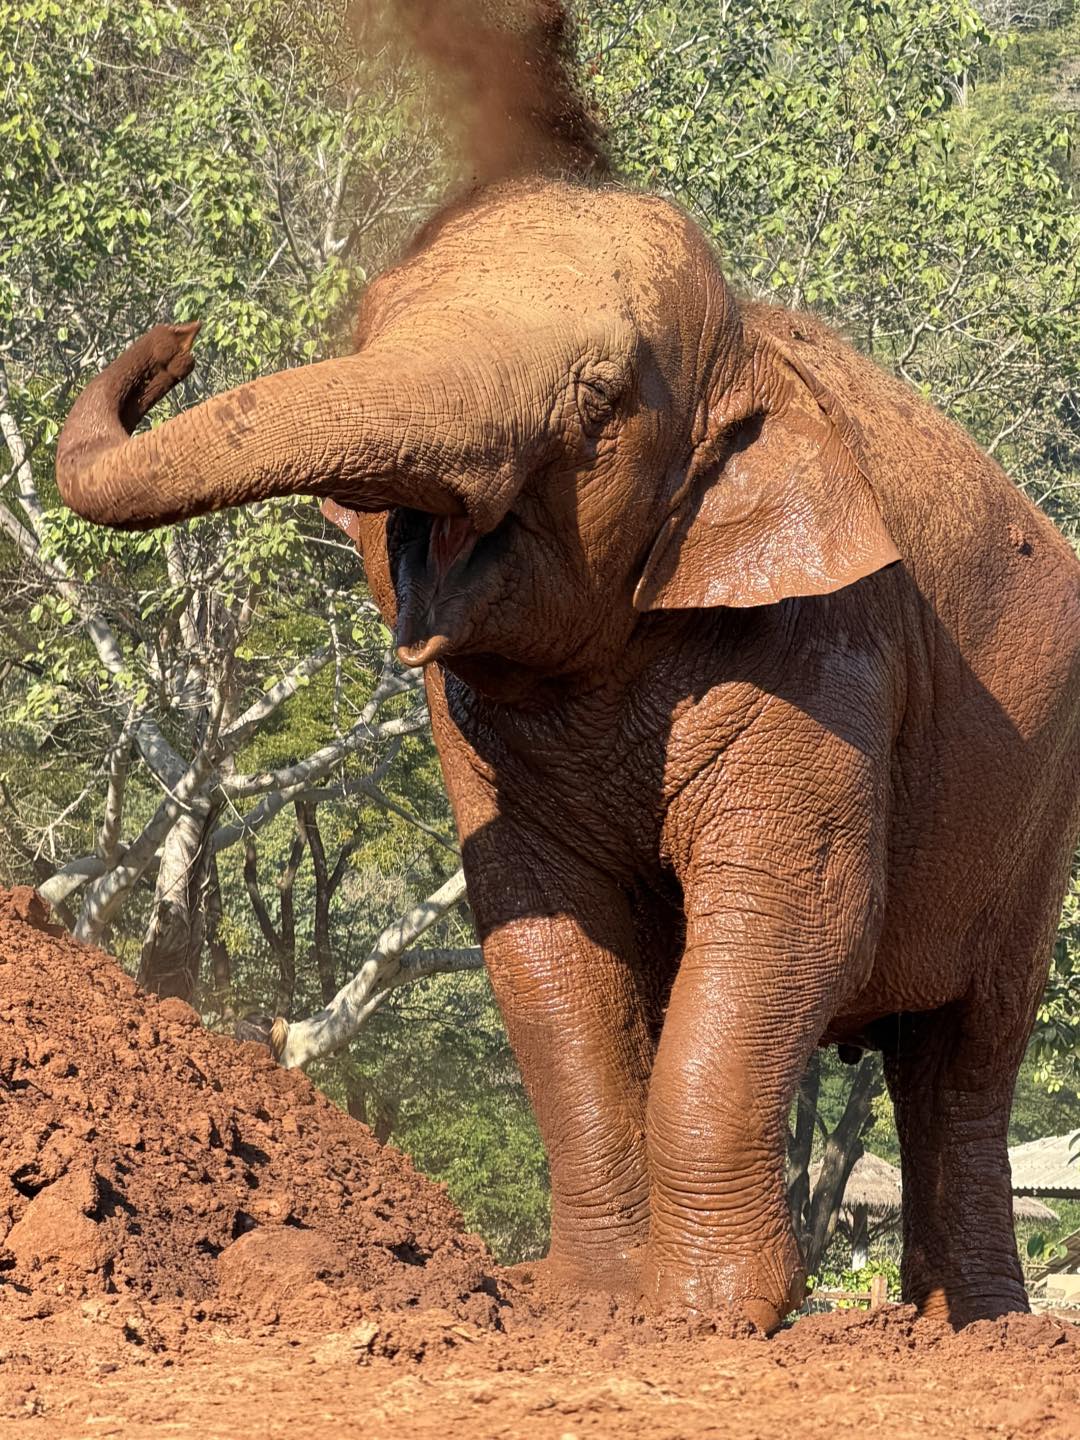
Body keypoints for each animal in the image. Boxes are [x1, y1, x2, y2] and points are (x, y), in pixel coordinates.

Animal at [56, 179, 1080, 1332]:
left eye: (600, 404)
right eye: (370, 332)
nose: (181, 337)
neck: (751, 353)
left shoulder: (832, 640)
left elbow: (796, 911)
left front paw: (712, 1317)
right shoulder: (473, 724)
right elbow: (543, 935)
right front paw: (596, 1304)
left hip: (1040, 814)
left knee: (967, 1056)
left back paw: (979, 1328)